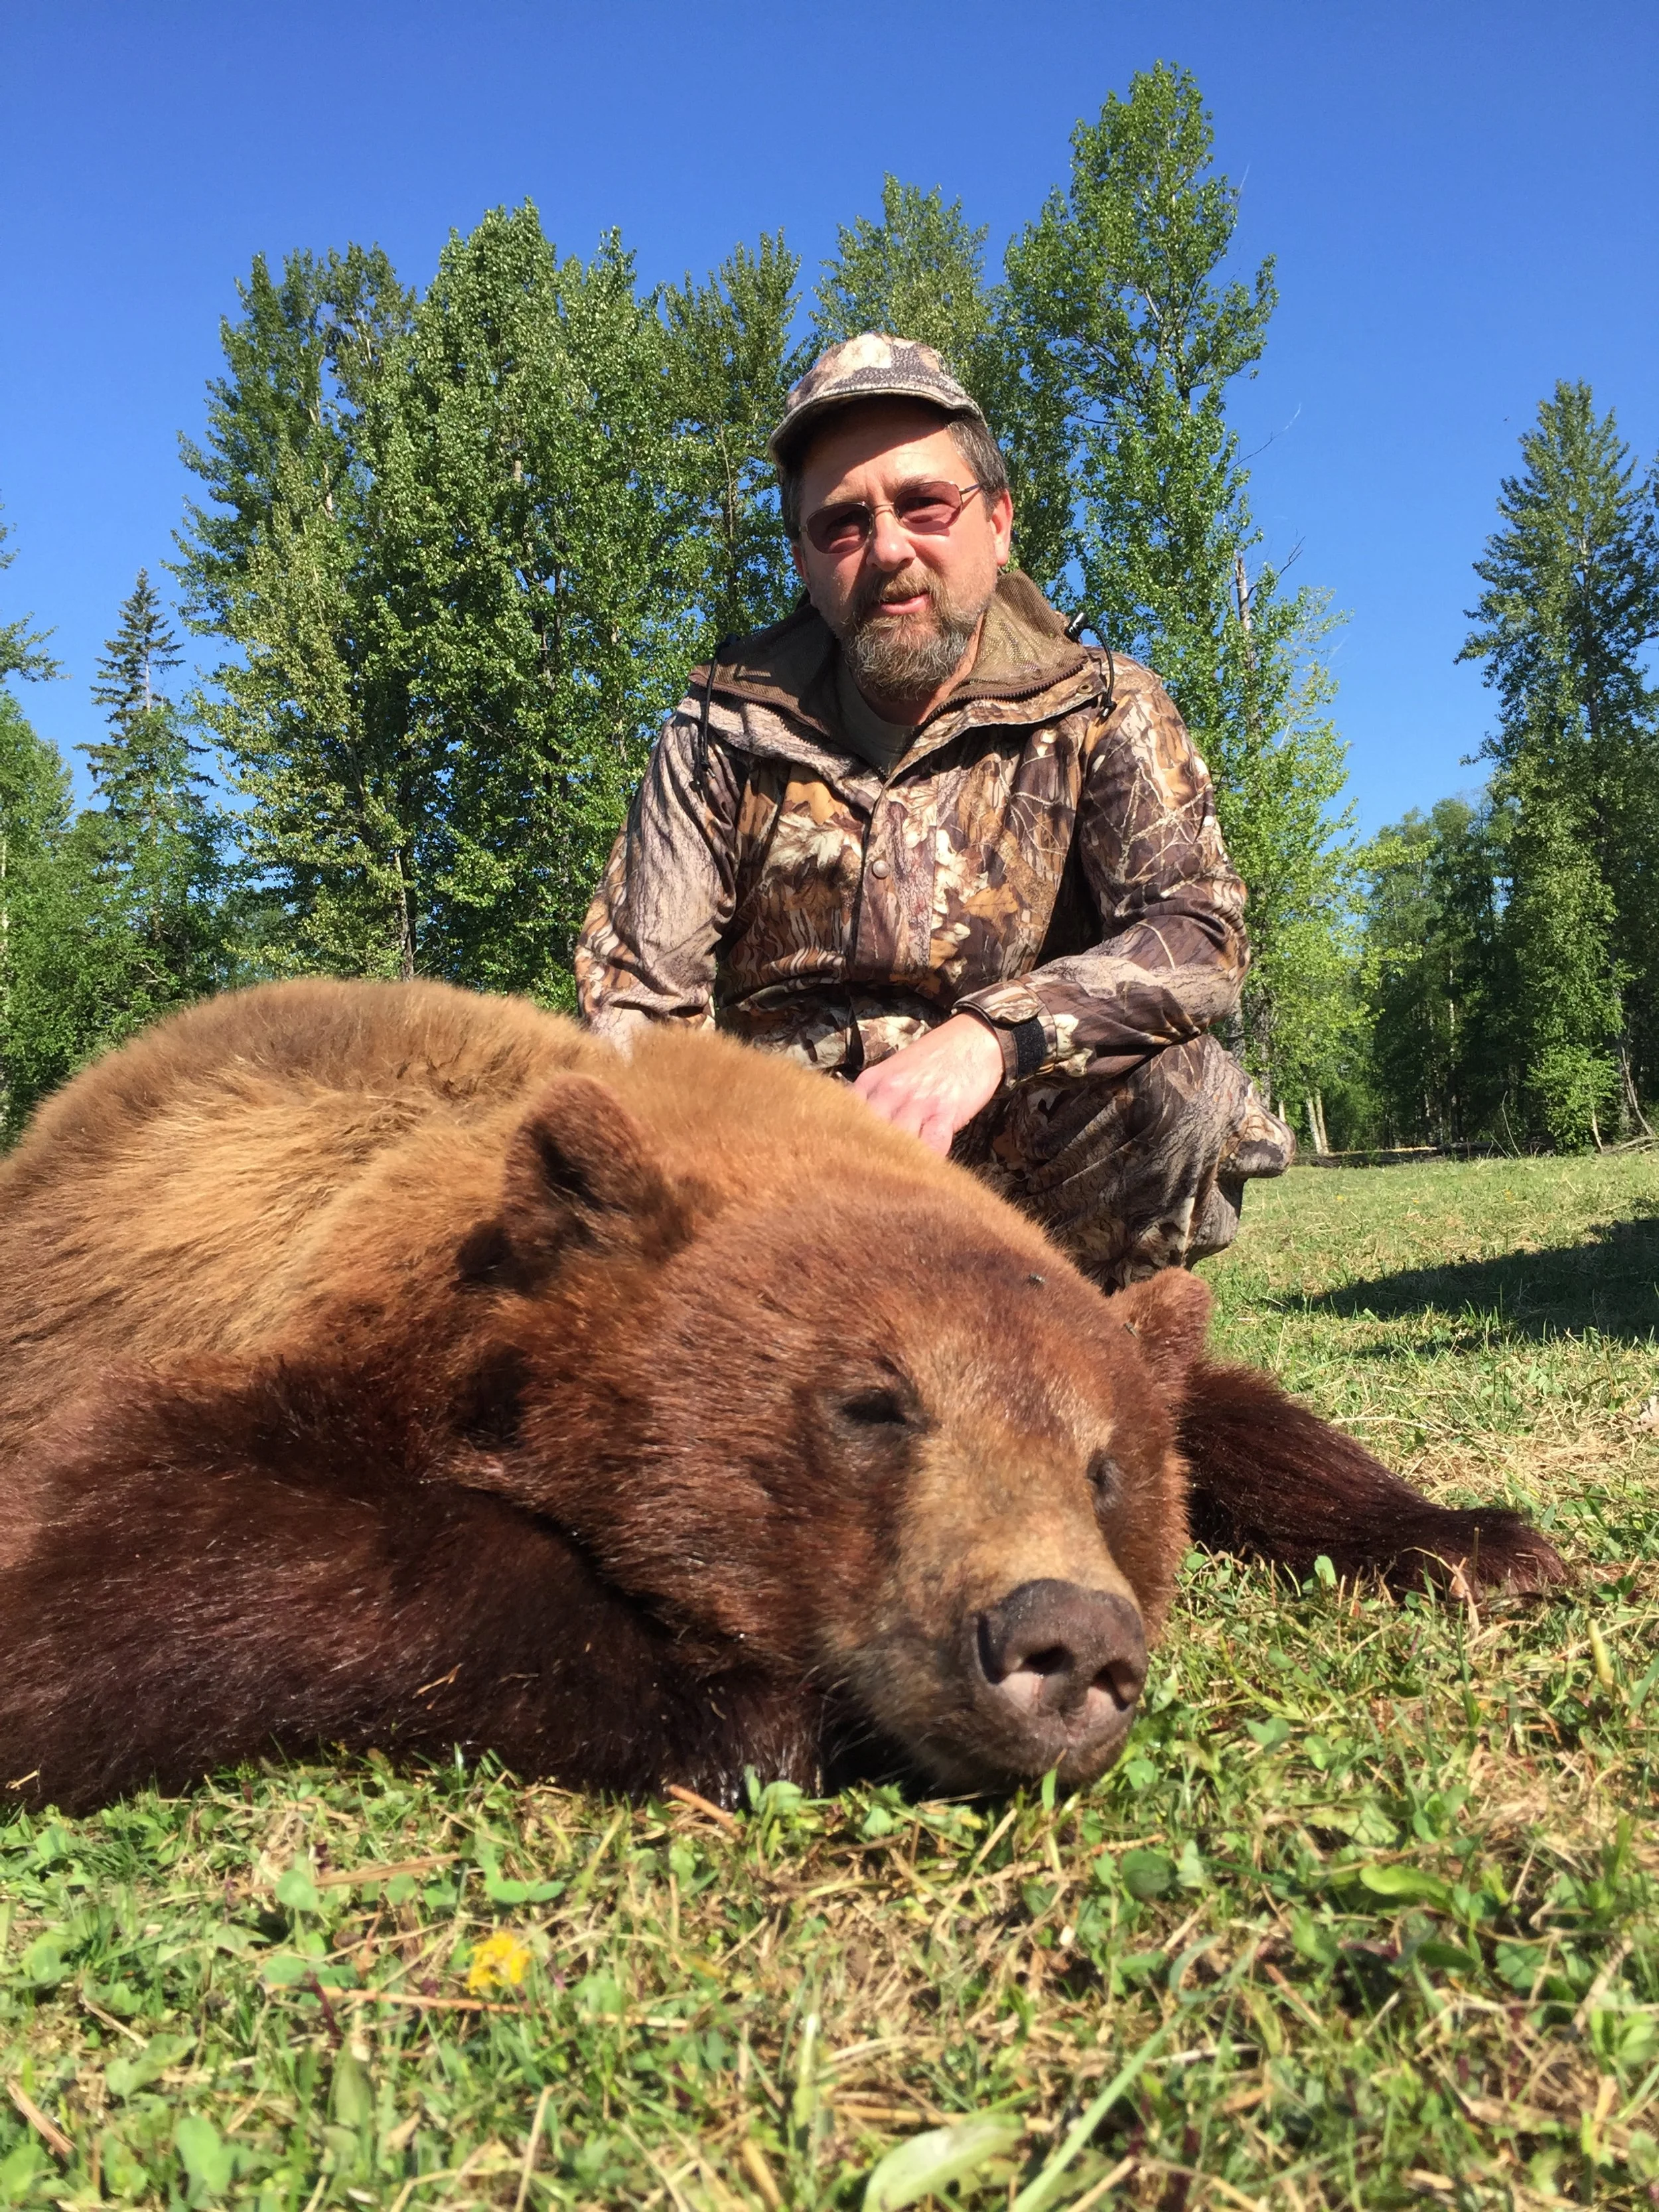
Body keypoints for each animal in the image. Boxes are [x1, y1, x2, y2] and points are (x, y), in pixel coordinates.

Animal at [0, 979, 1564, 1814]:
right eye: (875, 1403)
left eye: (1105, 1466)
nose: (1068, 1639)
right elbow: (139, 1545)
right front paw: (727, 1694)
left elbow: (1232, 1394)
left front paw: (1479, 1540)